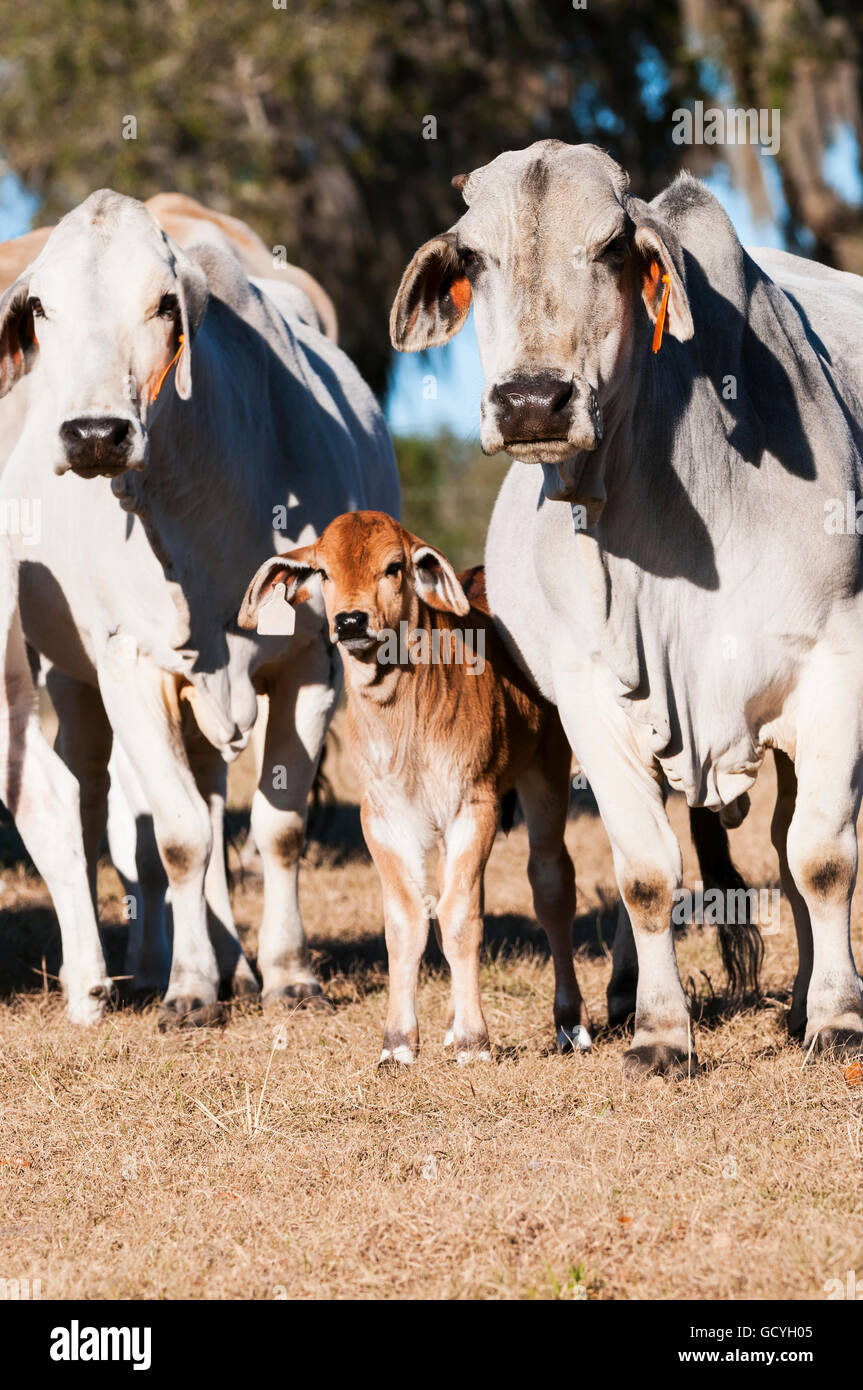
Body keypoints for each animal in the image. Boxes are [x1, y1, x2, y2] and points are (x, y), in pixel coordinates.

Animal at [0, 188, 399, 1024]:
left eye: (162, 303)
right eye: (41, 306)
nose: (94, 434)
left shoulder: (310, 663)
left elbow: (277, 830)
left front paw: (288, 973)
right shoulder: (129, 666)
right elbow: (177, 838)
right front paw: (187, 988)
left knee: (212, 806)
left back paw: (235, 967)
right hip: (70, 685)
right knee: (102, 814)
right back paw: (146, 967)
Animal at [239, 510, 592, 1063]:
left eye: (393, 566)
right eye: (324, 572)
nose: (350, 622)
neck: (407, 714)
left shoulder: (475, 803)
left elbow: (461, 916)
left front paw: (473, 1042)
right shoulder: (383, 818)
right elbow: (409, 921)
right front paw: (400, 1044)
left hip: (548, 771)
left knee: (552, 883)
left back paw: (570, 1024)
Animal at [391, 139, 863, 1075]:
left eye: (611, 246)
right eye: (472, 257)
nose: (531, 401)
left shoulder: (836, 664)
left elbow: (822, 859)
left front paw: (836, 1020)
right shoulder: (594, 702)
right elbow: (645, 873)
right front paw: (659, 1034)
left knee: (789, 844)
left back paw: (803, 1003)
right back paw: (622, 995)